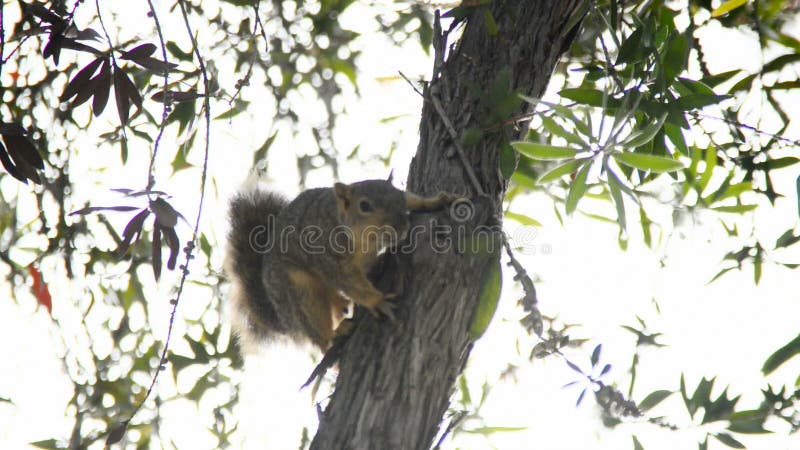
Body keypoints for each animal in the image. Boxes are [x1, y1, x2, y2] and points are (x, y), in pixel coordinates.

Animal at [225, 178, 456, 351]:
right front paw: (378, 301)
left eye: (397, 194)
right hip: (298, 290)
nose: (401, 225)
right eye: (364, 206)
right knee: (318, 334)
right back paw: (334, 335)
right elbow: (350, 282)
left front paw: (437, 201)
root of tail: (283, 316)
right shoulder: (331, 256)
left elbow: (413, 198)